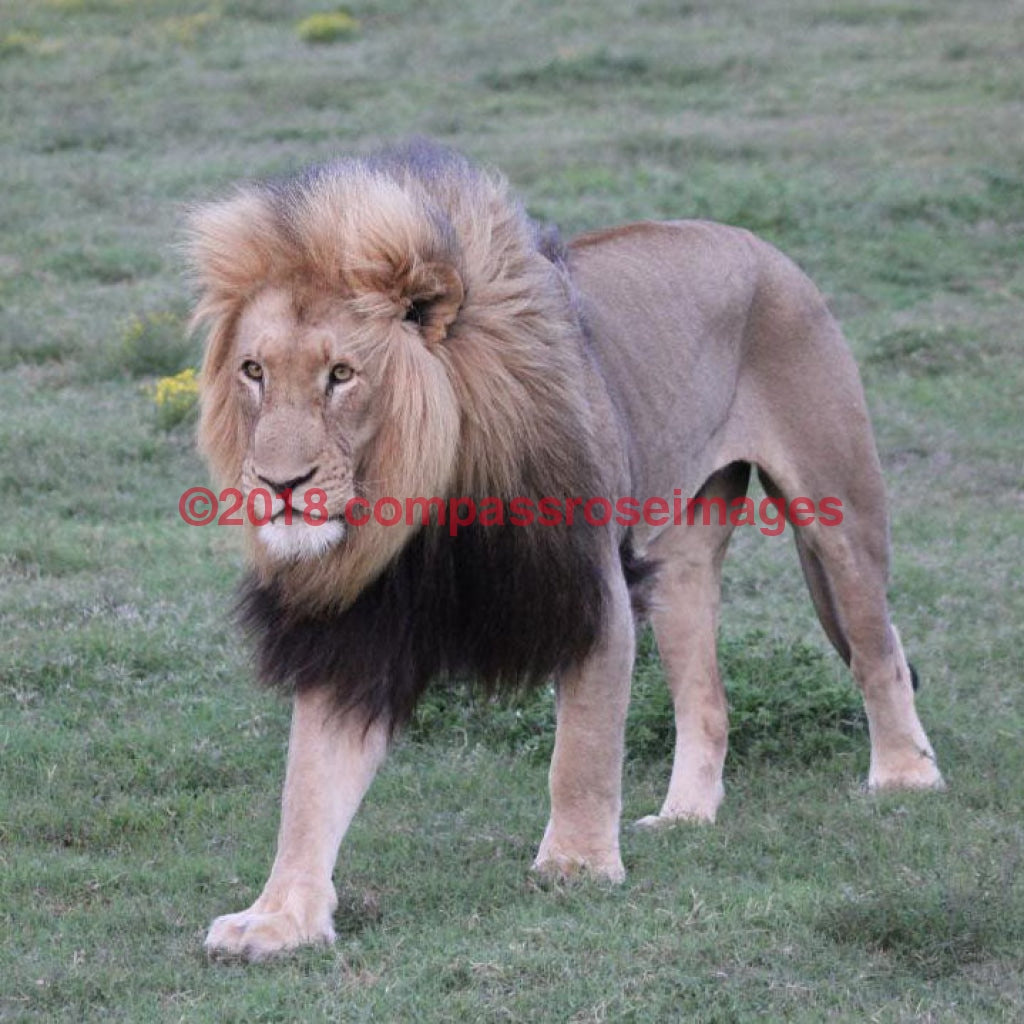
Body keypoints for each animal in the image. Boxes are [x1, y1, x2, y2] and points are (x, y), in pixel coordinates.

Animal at [186, 140, 943, 961]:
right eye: (253, 371)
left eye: (342, 375)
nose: (279, 484)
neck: (424, 503)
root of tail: (761, 246)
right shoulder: (358, 628)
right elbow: (309, 786)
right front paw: (278, 917)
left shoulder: (592, 593)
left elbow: (580, 752)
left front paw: (576, 867)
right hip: (679, 564)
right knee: (707, 699)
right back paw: (685, 815)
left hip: (838, 511)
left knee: (878, 647)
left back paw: (905, 776)